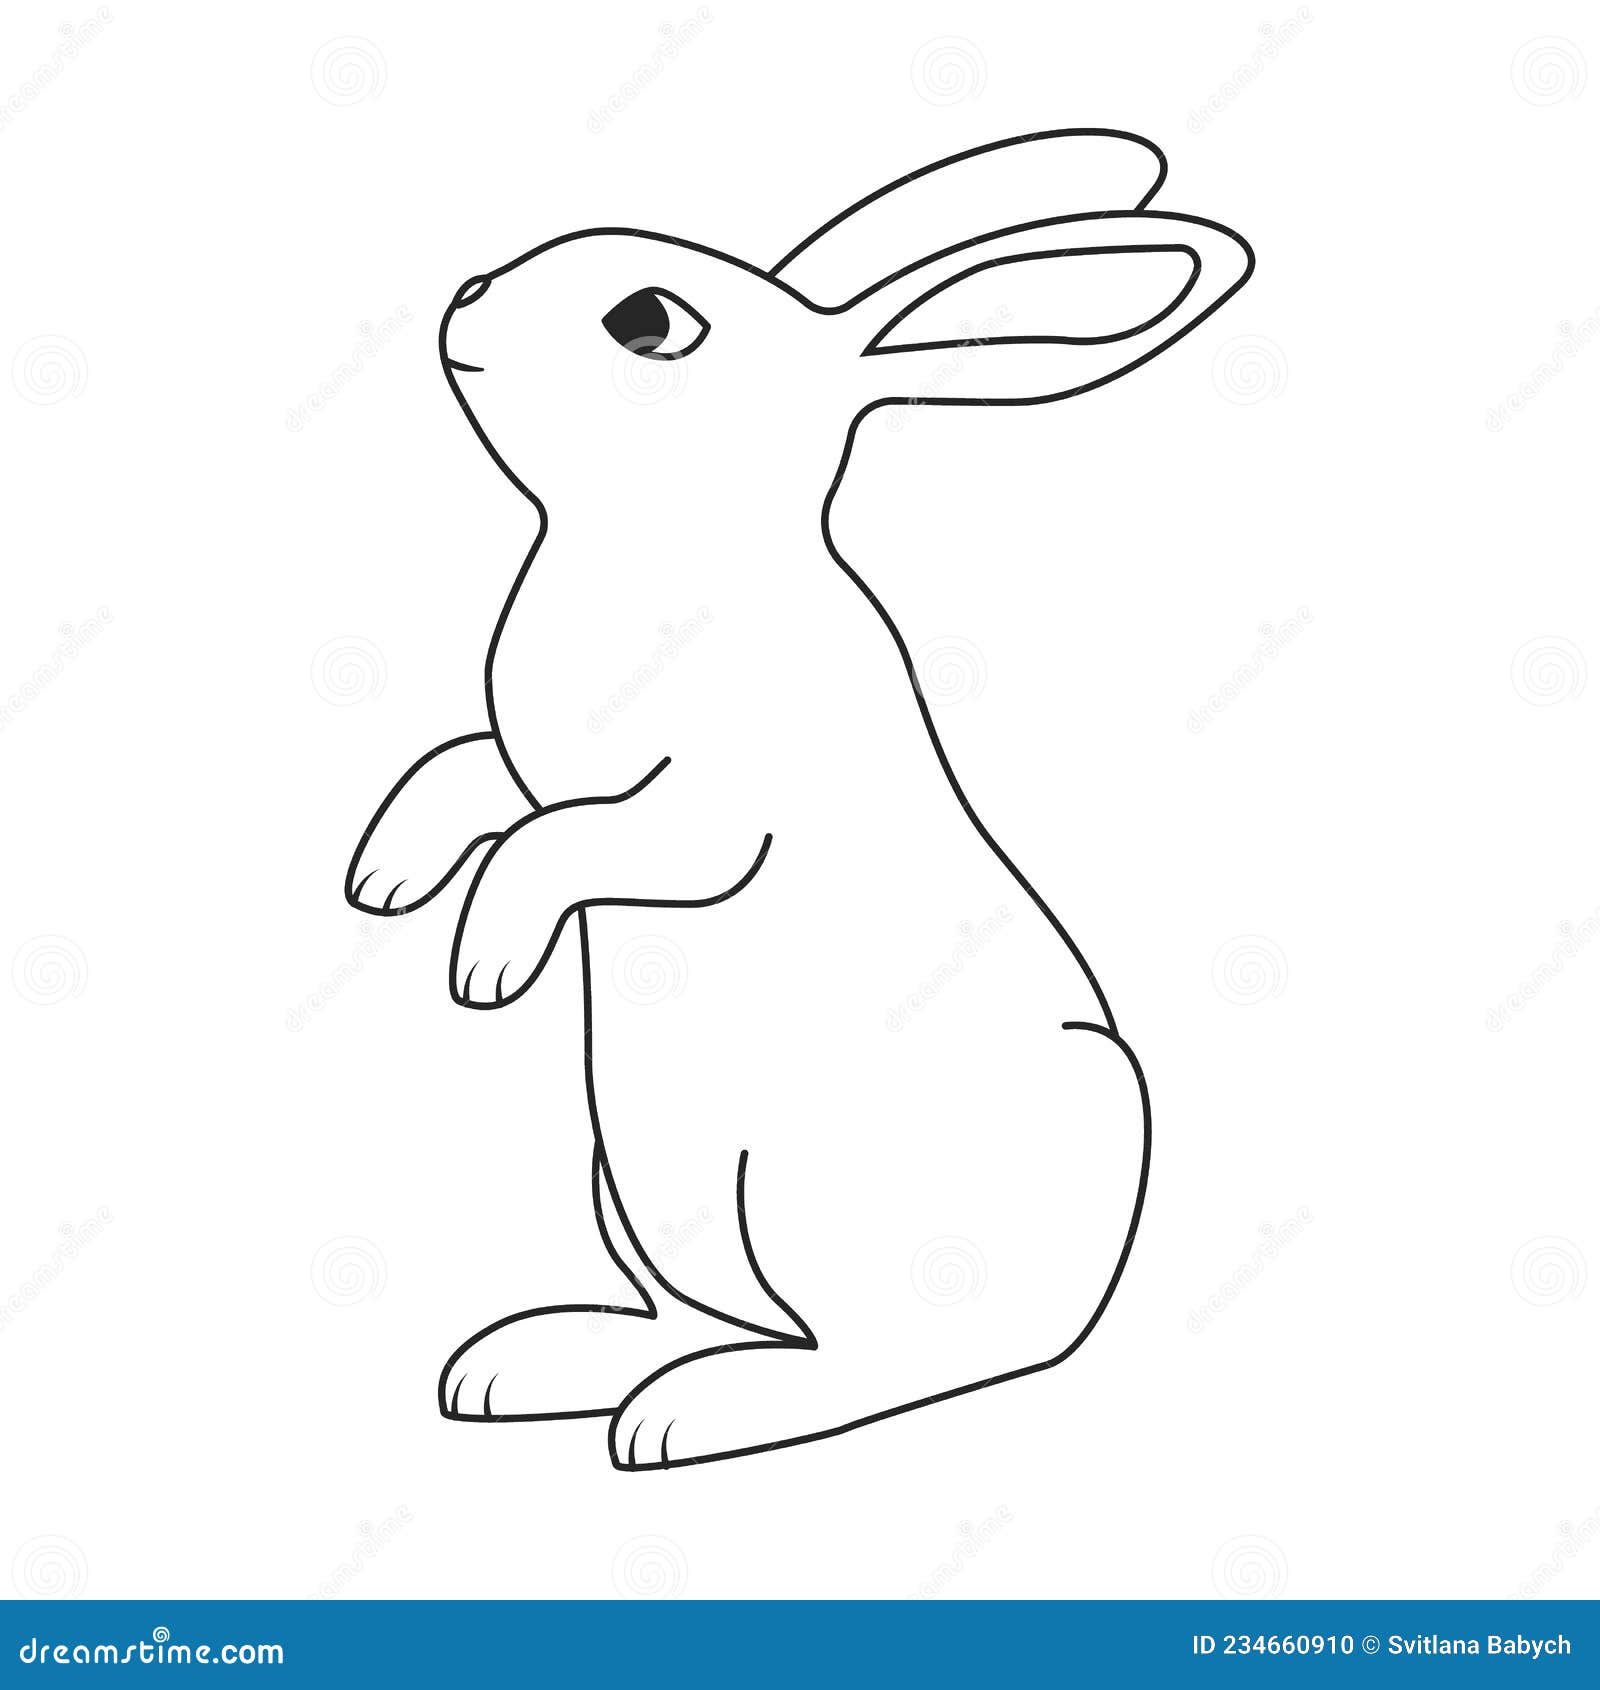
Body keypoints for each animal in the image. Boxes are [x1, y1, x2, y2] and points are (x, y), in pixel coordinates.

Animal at [346, 130, 1253, 1468]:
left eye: (648, 322)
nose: (466, 296)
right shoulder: (532, 759)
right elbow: (468, 771)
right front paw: (384, 875)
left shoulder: (708, 811)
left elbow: (573, 842)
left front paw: (486, 959)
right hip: (632, 1186)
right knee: (707, 1313)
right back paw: (533, 1366)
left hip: (806, 1184)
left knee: (883, 1360)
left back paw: (684, 1415)